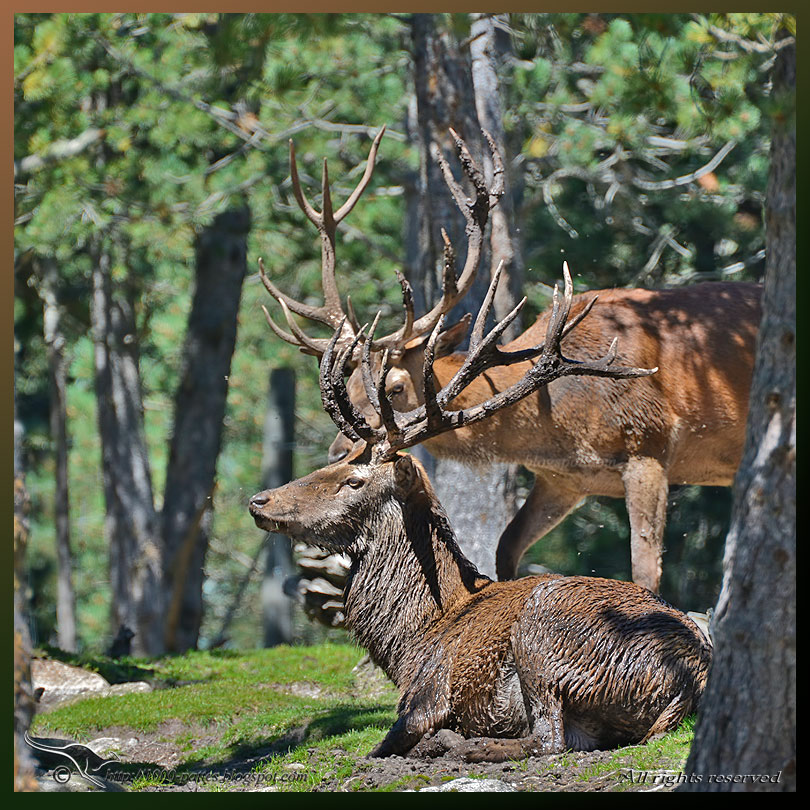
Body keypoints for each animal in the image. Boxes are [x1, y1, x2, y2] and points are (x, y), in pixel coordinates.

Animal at [248, 270, 712, 759]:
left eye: (354, 481)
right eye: (330, 465)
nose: (260, 500)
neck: (412, 640)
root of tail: (690, 680)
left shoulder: (426, 694)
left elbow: (381, 745)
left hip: (542, 635)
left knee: (550, 740)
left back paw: (464, 746)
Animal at [258, 126, 762, 595]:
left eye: (395, 388)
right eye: (349, 383)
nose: (339, 450)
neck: (561, 421)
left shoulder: (649, 446)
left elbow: (645, 571)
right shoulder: (564, 481)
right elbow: (505, 550)